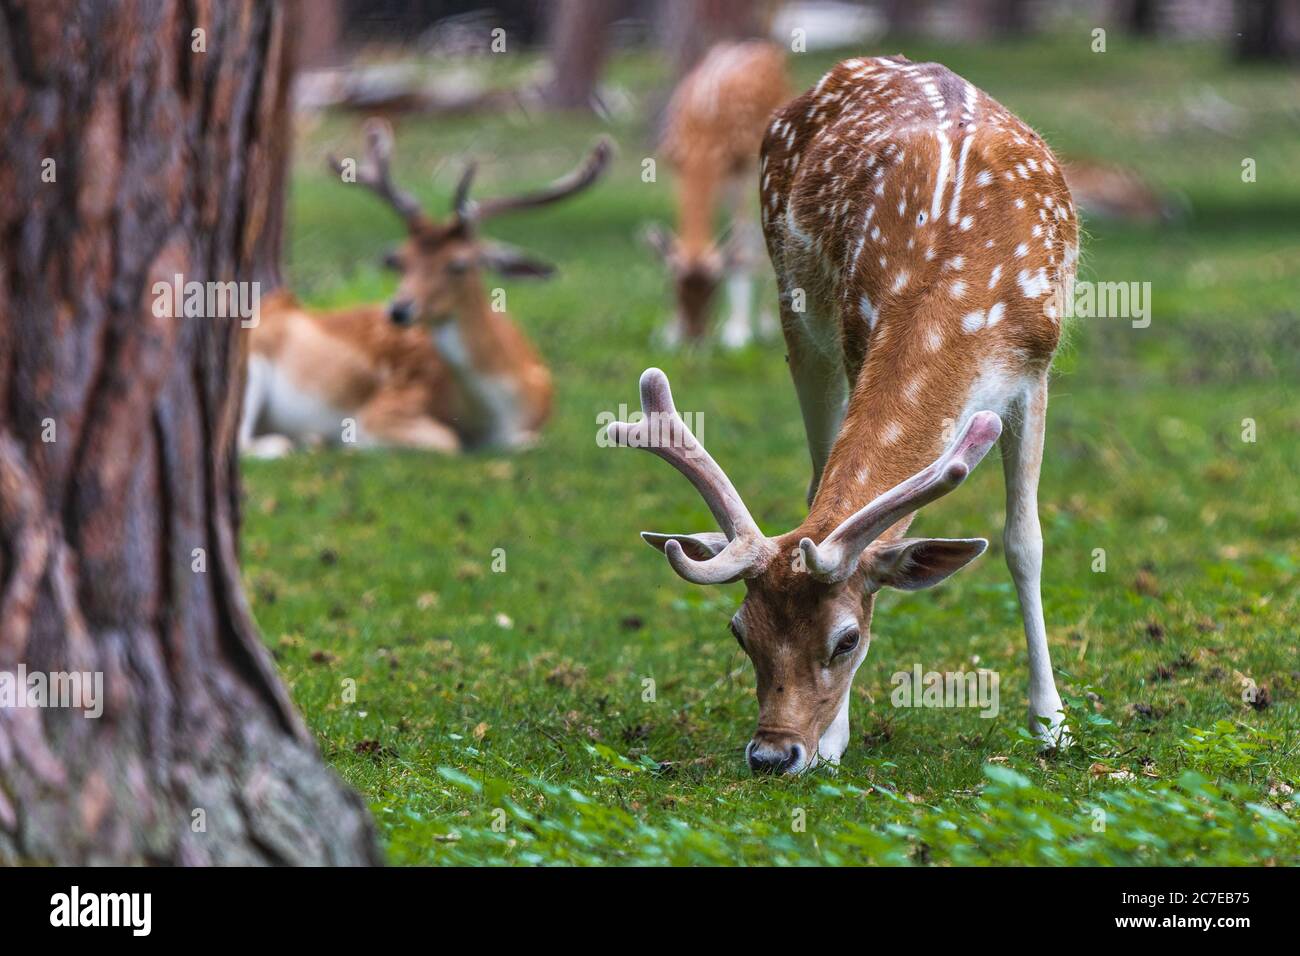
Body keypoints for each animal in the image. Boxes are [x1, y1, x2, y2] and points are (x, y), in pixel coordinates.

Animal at [240, 120, 612, 457]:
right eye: (402, 260)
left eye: (459, 264)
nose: (398, 309)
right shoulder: (389, 405)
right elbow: (447, 442)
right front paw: (348, 445)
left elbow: (528, 442)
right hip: (253, 363)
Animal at [647, 40, 790, 348]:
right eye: (673, 286)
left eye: (714, 287)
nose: (694, 337)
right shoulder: (673, 166)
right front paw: (669, 332)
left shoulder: (742, 168)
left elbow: (743, 243)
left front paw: (738, 333)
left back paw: (767, 324)